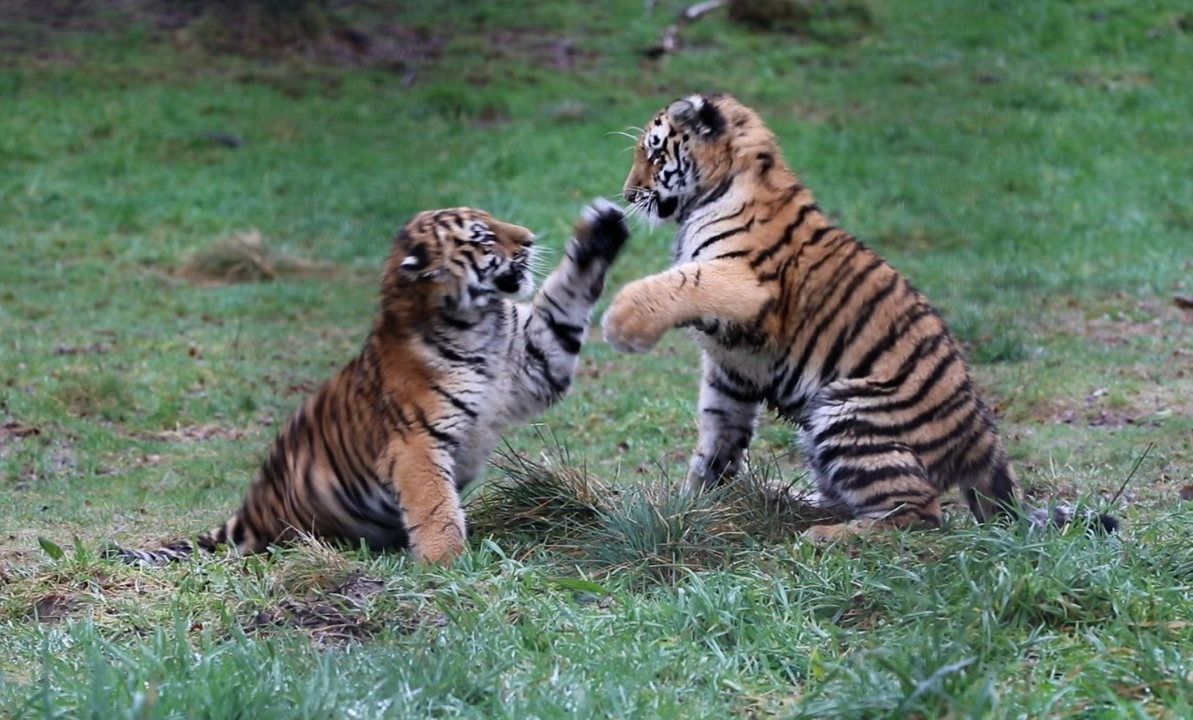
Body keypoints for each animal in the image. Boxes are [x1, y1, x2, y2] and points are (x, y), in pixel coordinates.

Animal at [112, 200, 629, 565]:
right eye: (483, 236)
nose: (528, 239)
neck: (479, 324)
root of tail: (252, 506)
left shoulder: (539, 360)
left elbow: (566, 296)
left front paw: (602, 230)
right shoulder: (415, 443)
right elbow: (435, 508)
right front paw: (448, 563)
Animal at [601, 93, 1117, 541]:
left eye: (654, 152)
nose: (628, 193)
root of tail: (982, 436)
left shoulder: (748, 284)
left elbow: (680, 281)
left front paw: (621, 323)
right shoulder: (733, 369)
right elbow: (718, 434)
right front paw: (693, 503)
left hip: (848, 415)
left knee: (920, 514)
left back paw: (825, 536)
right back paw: (798, 501)